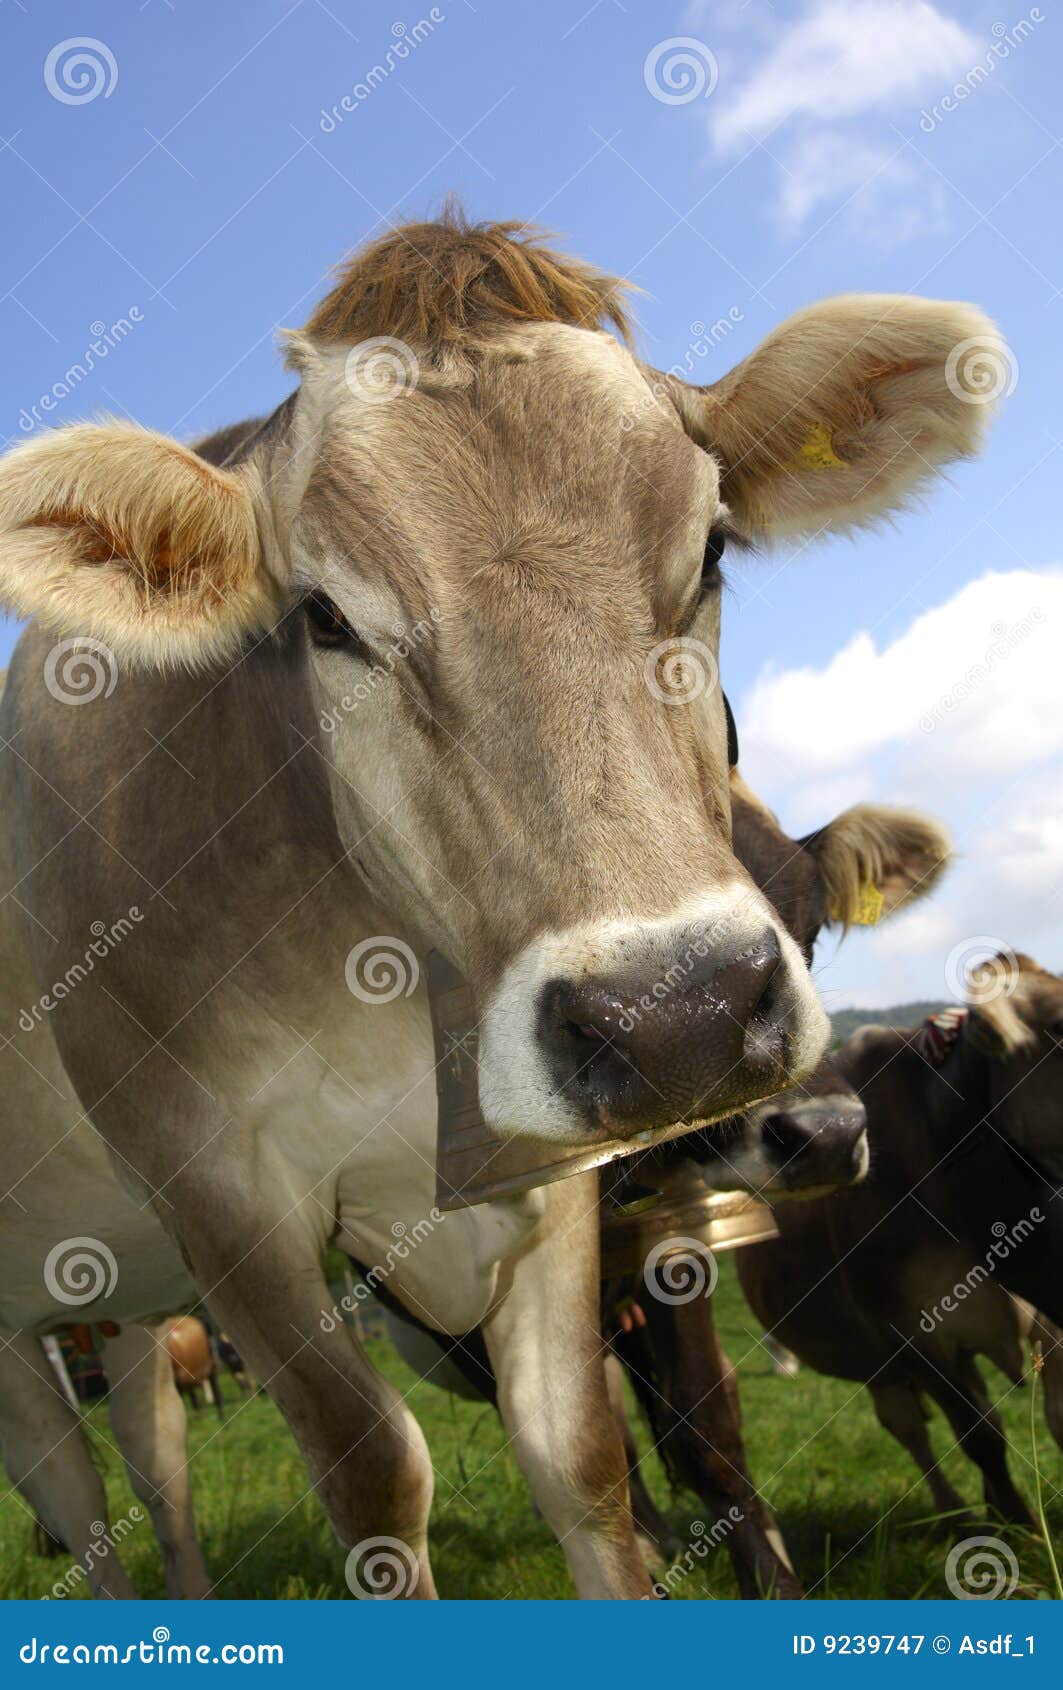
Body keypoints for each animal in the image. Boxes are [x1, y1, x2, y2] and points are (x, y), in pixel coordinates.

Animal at [0, 210, 997, 1597]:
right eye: (324, 616)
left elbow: (582, 1454)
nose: (680, 1014)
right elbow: (374, 1472)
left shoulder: (569, 1170)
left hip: (134, 1300)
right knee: (76, 1492)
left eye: (712, 547)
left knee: (155, 1460)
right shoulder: (214, 1187)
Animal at [739, 952, 1063, 1526]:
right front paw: (1019, 1523)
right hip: (879, 1356)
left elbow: (1058, 1415)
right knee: (907, 1427)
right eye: (1061, 1027)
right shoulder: (916, 1337)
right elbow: (981, 1436)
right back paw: (954, 1512)